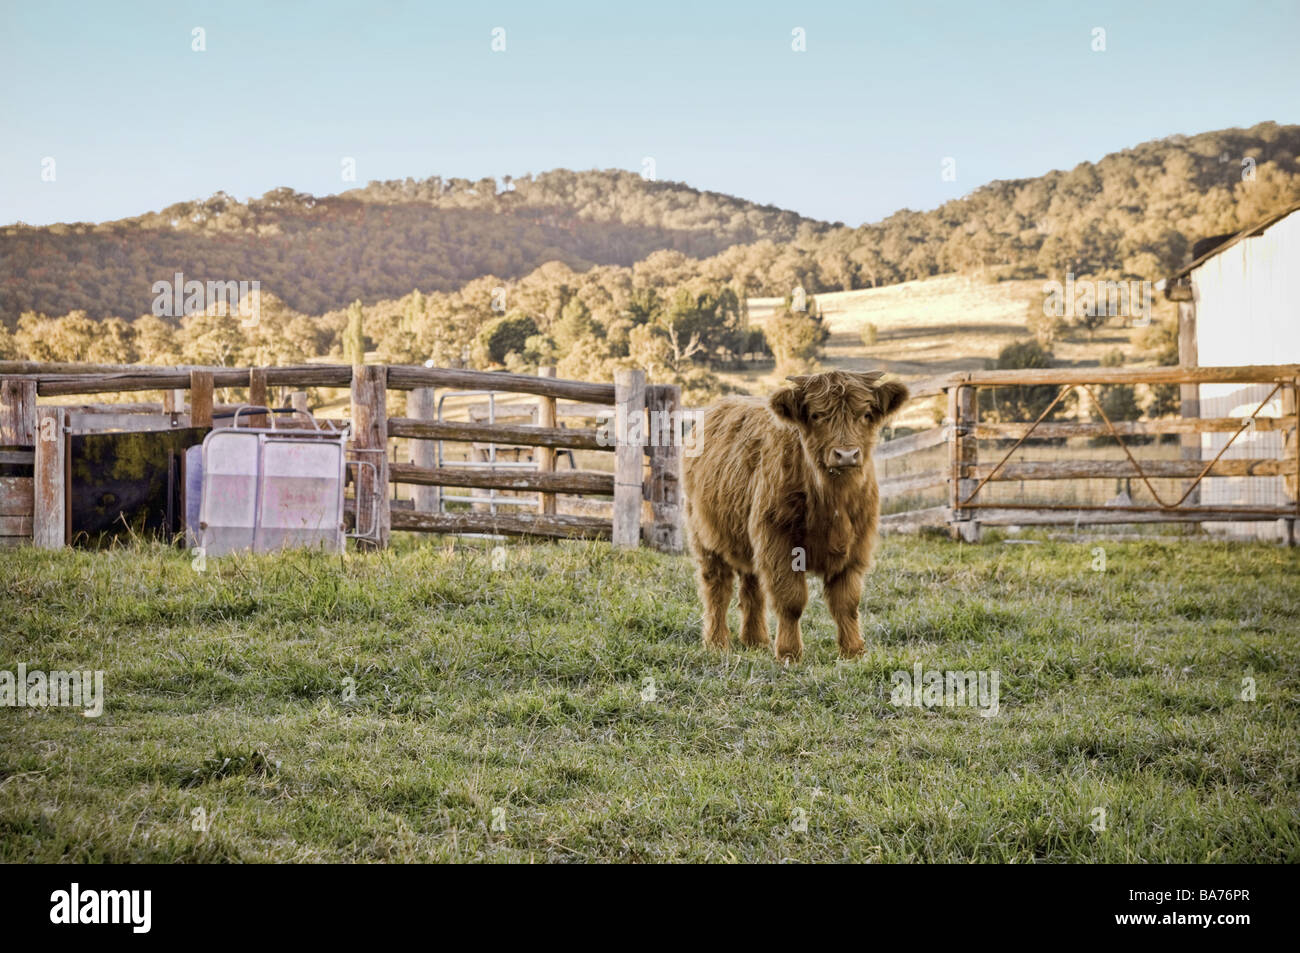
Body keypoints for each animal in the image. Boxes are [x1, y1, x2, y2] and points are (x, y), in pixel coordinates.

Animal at [683, 370, 909, 663]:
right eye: (816, 415)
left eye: (867, 414)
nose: (846, 454)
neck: (832, 498)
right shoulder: (778, 540)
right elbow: (791, 599)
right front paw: (789, 653)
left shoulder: (857, 545)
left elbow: (846, 602)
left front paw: (853, 651)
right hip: (705, 537)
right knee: (717, 589)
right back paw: (717, 643)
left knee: (752, 588)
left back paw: (756, 641)